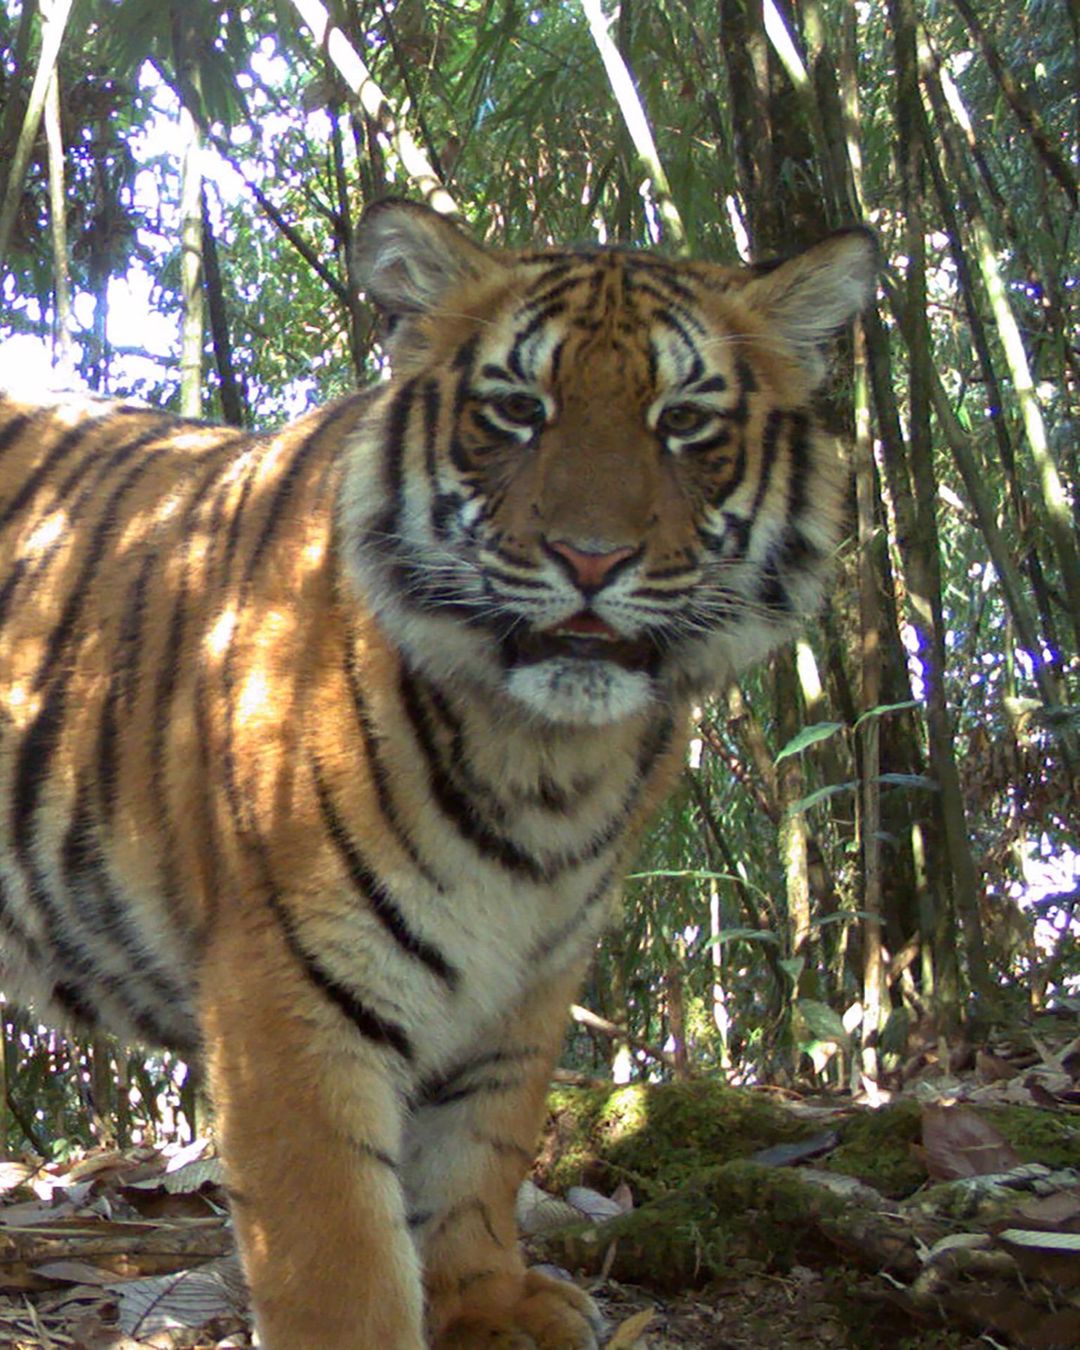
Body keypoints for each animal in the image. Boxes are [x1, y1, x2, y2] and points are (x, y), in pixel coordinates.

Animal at [0, 198, 875, 1349]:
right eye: (516, 409)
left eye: (684, 422)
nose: (590, 558)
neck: (547, 758)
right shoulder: (290, 988)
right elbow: (337, 1247)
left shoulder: (531, 974)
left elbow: (480, 1148)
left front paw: (489, 1301)